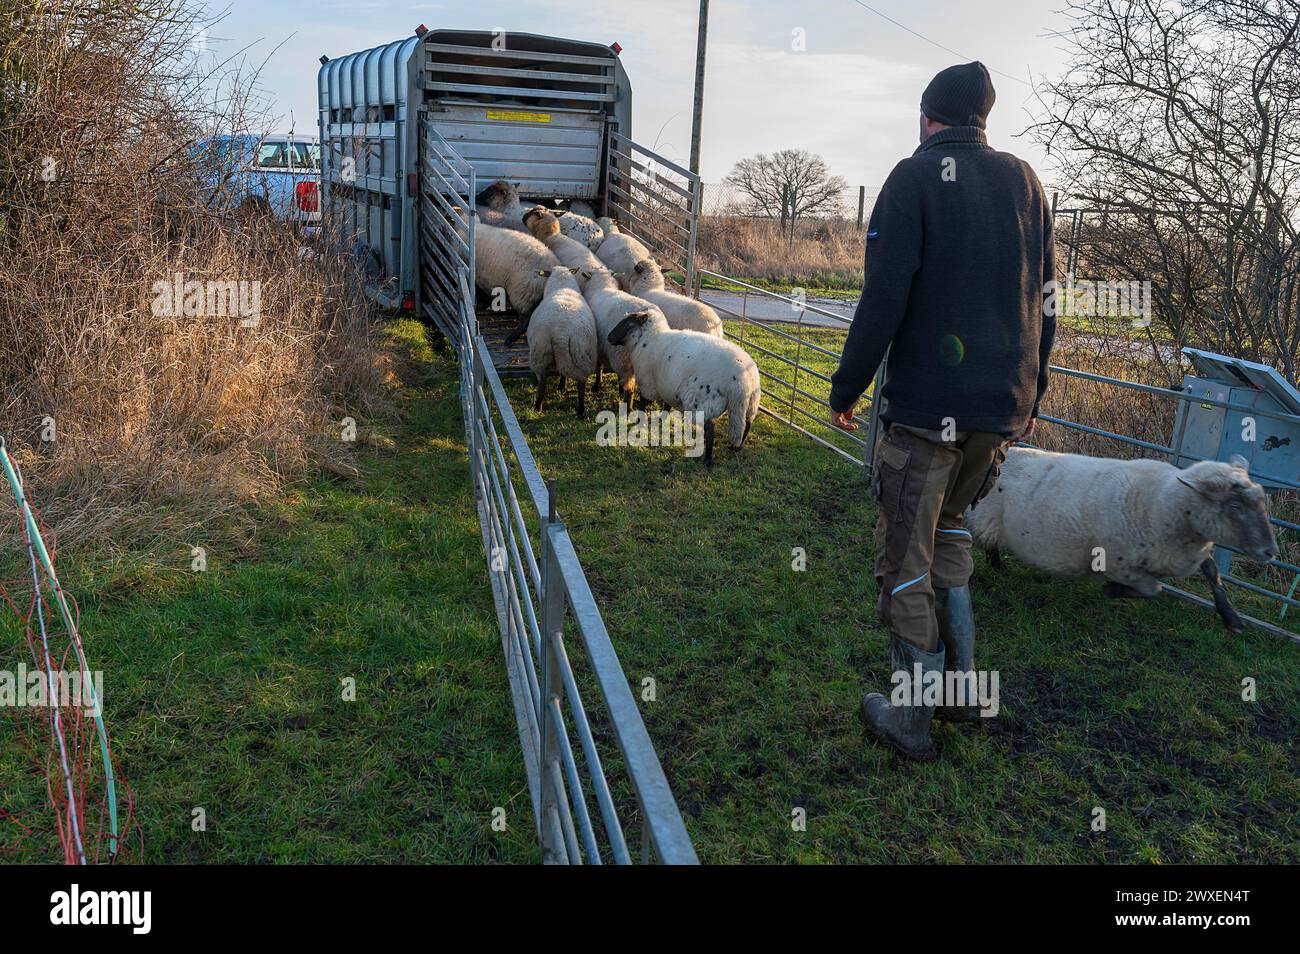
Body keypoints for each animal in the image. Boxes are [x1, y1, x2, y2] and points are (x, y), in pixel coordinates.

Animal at [526, 266, 598, 417]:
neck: (562, 287)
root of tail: (560, 333)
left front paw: (561, 386)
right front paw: (561, 385)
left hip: (542, 352)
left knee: (545, 381)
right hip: (571, 354)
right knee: (576, 382)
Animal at [606, 307, 761, 466]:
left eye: (627, 324)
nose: (609, 337)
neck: (649, 339)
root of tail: (744, 384)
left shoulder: (647, 384)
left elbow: (643, 403)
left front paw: (639, 422)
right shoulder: (666, 384)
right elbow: (666, 405)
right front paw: (662, 418)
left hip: (702, 400)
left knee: (710, 428)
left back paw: (708, 459)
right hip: (751, 403)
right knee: (747, 423)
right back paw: (738, 448)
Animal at [965, 448, 1278, 632]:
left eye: (1262, 500)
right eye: (1234, 506)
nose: (1271, 552)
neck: (1164, 501)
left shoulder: (1189, 552)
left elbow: (1213, 574)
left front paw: (1231, 618)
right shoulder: (1120, 563)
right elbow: (1155, 589)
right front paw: (1112, 590)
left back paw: (998, 565)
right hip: (976, 516)